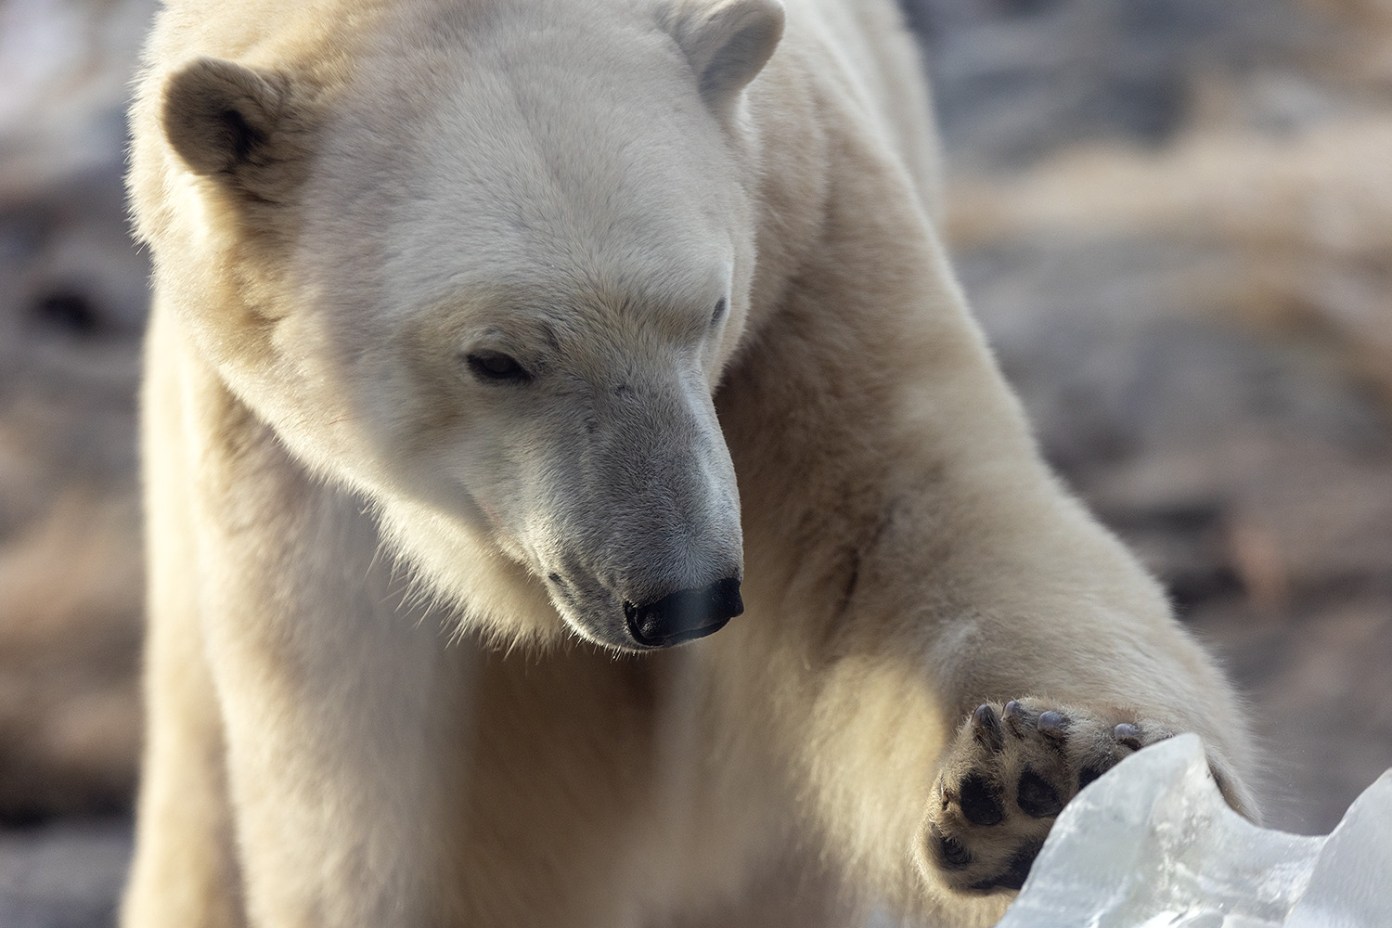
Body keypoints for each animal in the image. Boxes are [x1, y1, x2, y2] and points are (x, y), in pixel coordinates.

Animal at [121, 0, 1259, 925]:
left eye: (707, 307)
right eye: (498, 358)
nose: (681, 595)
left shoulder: (808, 271)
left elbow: (907, 538)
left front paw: (1042, 785)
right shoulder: (297, 504)